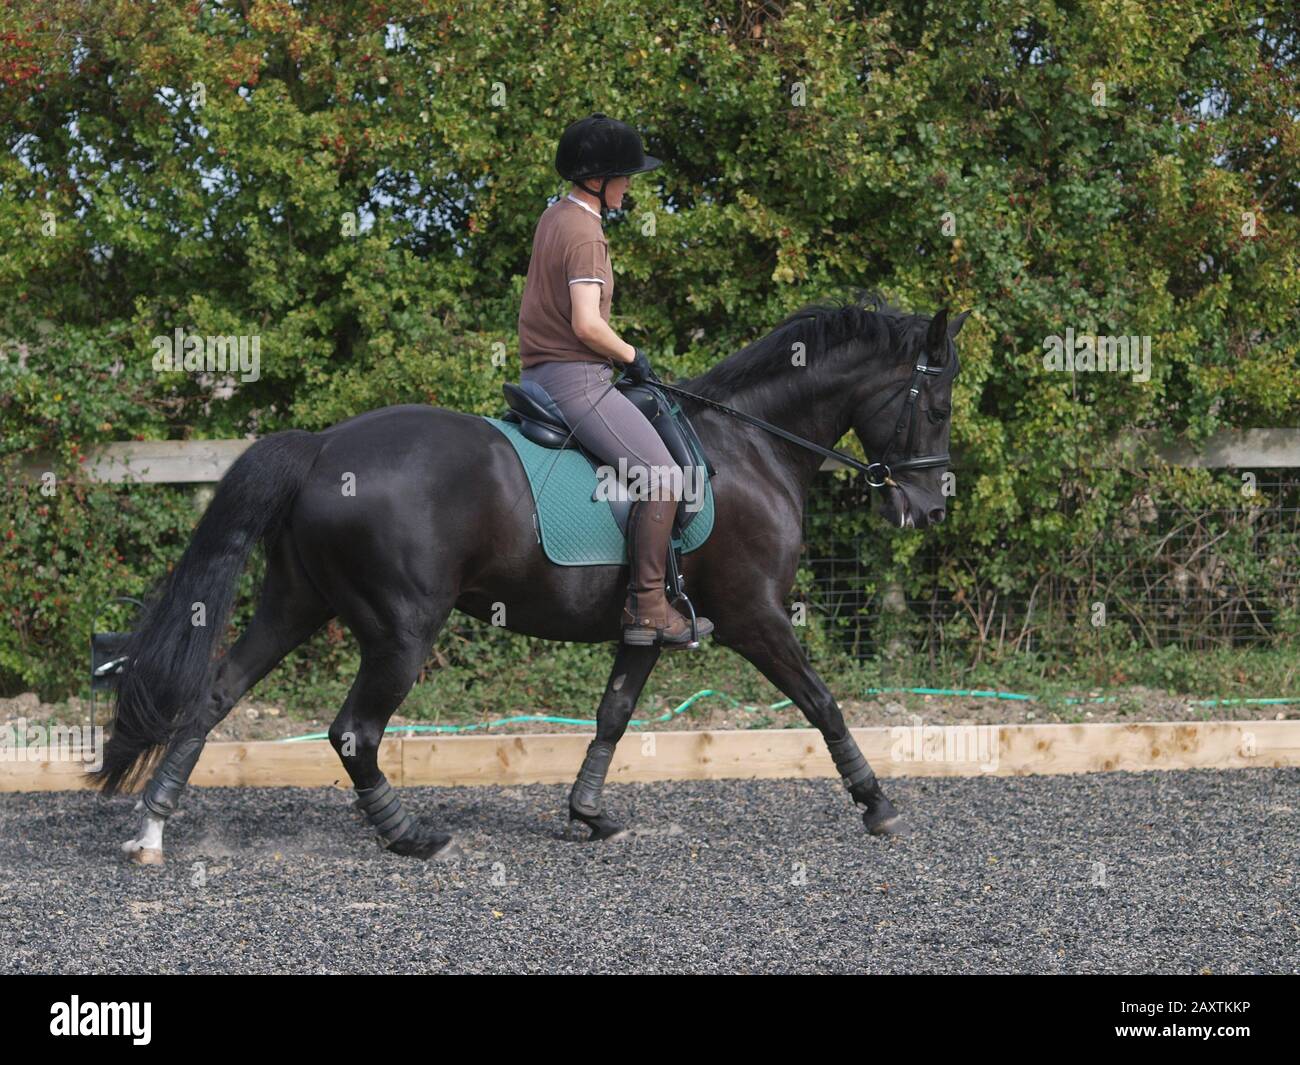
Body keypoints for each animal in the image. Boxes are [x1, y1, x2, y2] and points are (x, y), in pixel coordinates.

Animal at [97, 295, 967, 862]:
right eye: (940, 404)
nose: (927, 508)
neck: (753, 446)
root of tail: (322, 449)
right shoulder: (757, 615)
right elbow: (822, 702)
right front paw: (878, 803)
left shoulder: (648, 622)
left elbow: (613, 714)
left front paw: (588, 813)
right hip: (403, 629)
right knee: (354, 731)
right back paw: (409, 836)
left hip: (295, 602)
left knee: (215, 694)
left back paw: (151, 827)